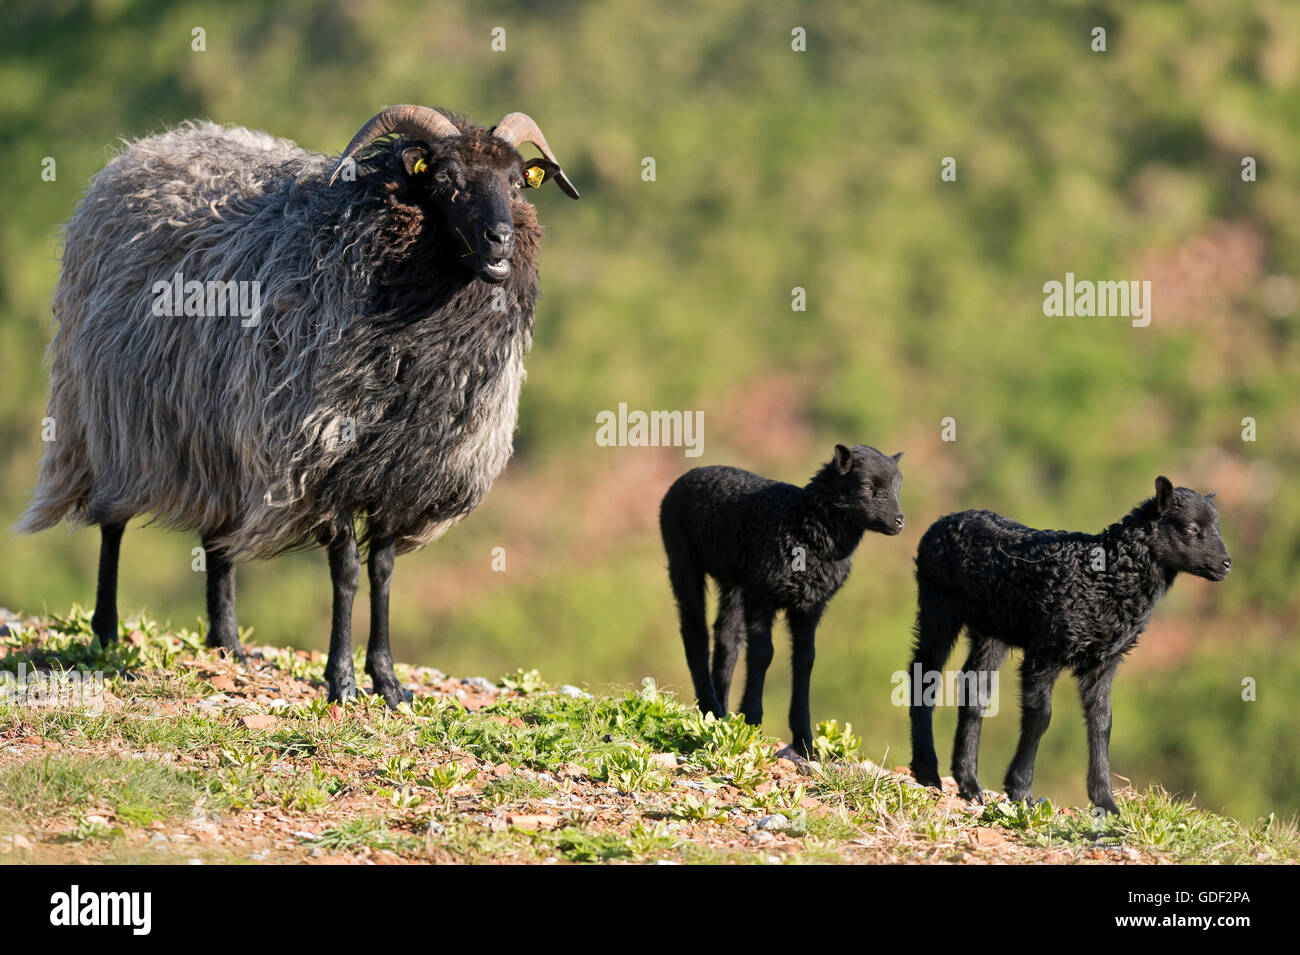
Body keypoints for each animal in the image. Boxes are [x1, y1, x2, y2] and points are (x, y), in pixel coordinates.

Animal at [17, 105, 579, 705]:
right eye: (446, 180)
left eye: (517, 182)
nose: (500, 240)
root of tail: (142, 151)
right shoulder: (321, 463)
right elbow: (347, 572)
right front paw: (341, 681)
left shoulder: (398, 473)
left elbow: (382, 571)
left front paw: (388, 680)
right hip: (114, 408)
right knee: (113, 521)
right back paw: (104, 633)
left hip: (216, 433)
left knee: (219, 537)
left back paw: (227, 643)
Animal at [659, 445, 905, 757]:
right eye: (865, 486)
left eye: (899, 486)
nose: (899, 521)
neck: (803, 526)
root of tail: (689, 475)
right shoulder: (762, 594)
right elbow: (762, 654)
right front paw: (751, 721)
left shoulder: (810, 605)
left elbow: (805, 660)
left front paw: (804, 741)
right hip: (682, 558)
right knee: (695, 631)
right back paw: (709, 707)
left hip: (735, 581)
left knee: (727, 639)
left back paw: (722, 712)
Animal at [908, 476, 1231, 813]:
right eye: (1191, 529)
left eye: (1218, 527)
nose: (1226, 564)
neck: (1108, 575)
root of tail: (944, 520)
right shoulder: (1045, 648)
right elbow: (1040, 716)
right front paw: (1020, 790)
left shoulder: (1103, 661)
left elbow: (1103, 722)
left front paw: (1105, 801)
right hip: (937, 603)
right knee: (924, 675)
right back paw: (928, 771)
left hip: (991, 630)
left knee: (974, 691)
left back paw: (969, 783)